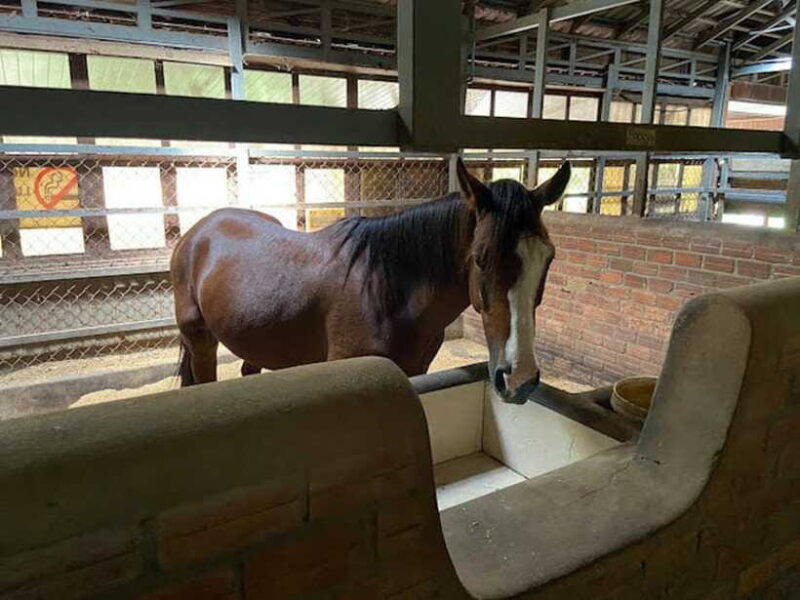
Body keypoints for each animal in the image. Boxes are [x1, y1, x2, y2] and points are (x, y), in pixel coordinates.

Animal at [170, 158, 570, 403]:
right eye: (481, 257)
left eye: (548, 258)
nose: (519, 379)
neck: (386, 294)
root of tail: (198, 232)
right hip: (201, 343)